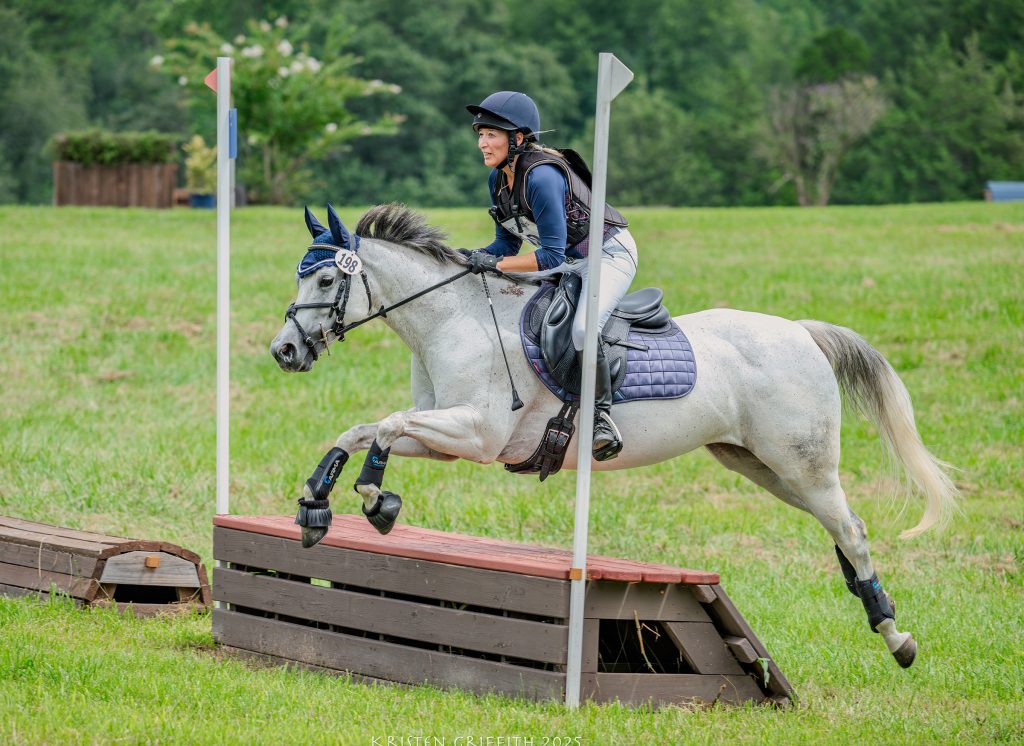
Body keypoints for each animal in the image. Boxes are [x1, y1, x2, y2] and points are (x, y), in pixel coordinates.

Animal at [269, 203, 959, 670]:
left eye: (326, 281)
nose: (284, 352)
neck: (456, 320)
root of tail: (801, 331)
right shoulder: (446, 435)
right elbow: (363, 428)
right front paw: (316, 504)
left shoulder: (480, 434)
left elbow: (385, 426)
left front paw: (373, 499)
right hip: (760, 465)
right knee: (839, 527)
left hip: (802, 463)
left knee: (852, 529)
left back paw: (897, 637)